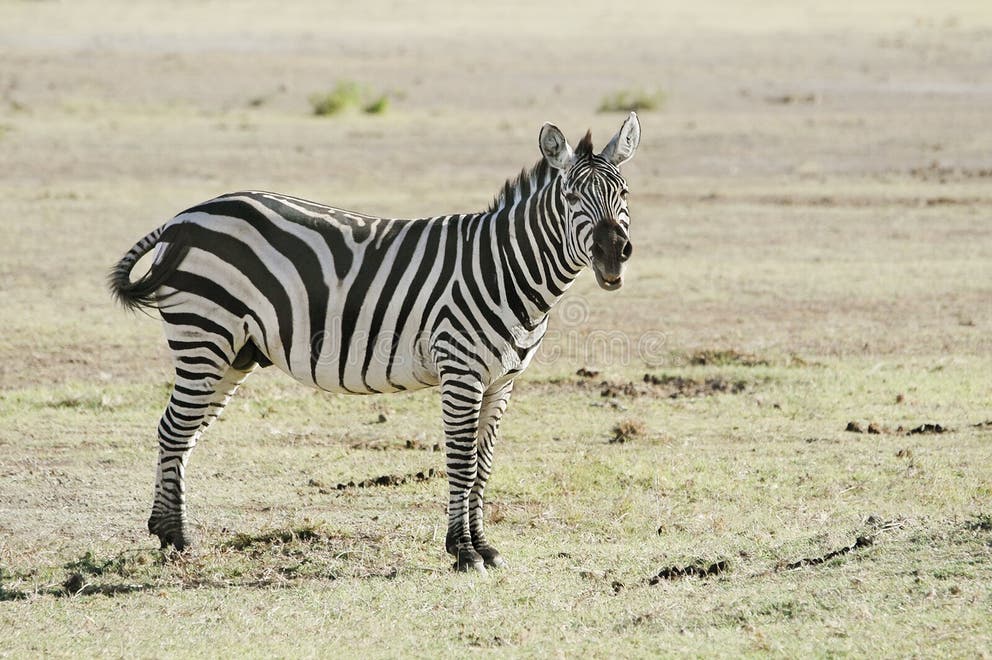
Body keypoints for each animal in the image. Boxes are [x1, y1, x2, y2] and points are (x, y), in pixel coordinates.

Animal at [109, 113, 640, 572]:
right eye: (571, 197)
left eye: (623, 192)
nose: (614, 253)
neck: (506, 269)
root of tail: (183, 218)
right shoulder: (461, 371)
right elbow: (462, 462)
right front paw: (462, 551)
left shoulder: (502, 380)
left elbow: (484, 465)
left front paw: (484, 546)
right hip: (204, 335)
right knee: (174, 429)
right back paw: (177, 536)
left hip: (232, 353)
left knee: (183, 433)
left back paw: (166, 531)